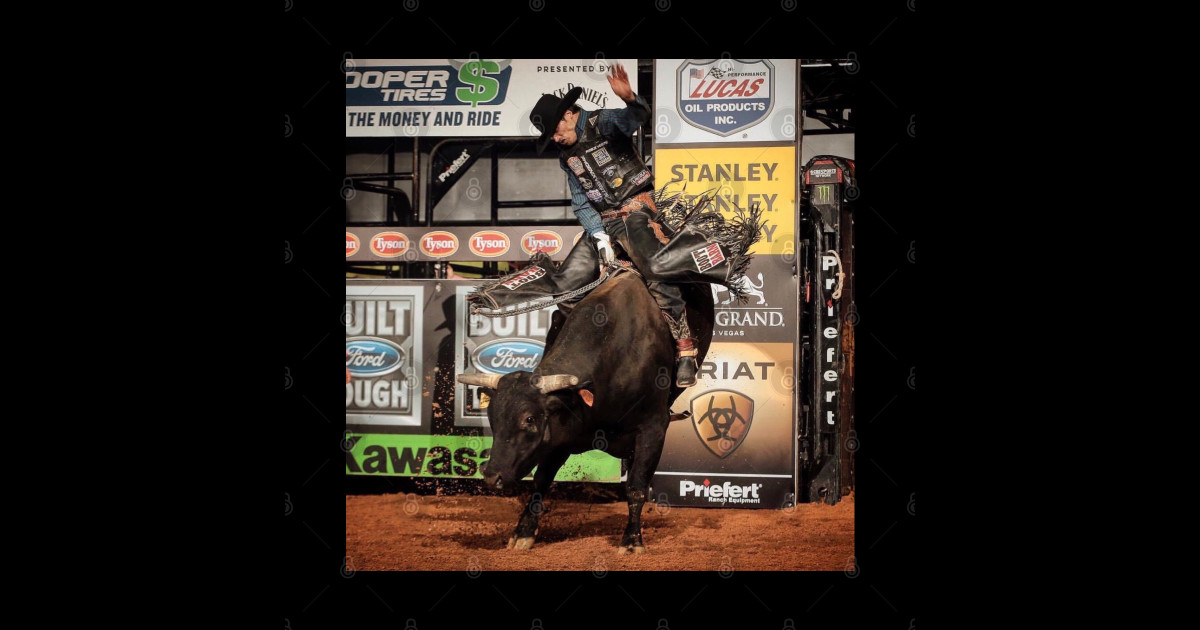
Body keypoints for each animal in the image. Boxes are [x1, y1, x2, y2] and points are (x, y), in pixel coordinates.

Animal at [457, 271, 714, 554]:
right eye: (493, 419)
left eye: (529, 419)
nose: (492, 477)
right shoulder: (560, 436)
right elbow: (541, 481)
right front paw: (523, 532)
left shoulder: (653, 429)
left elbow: (636, 487)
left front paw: (632, 541)